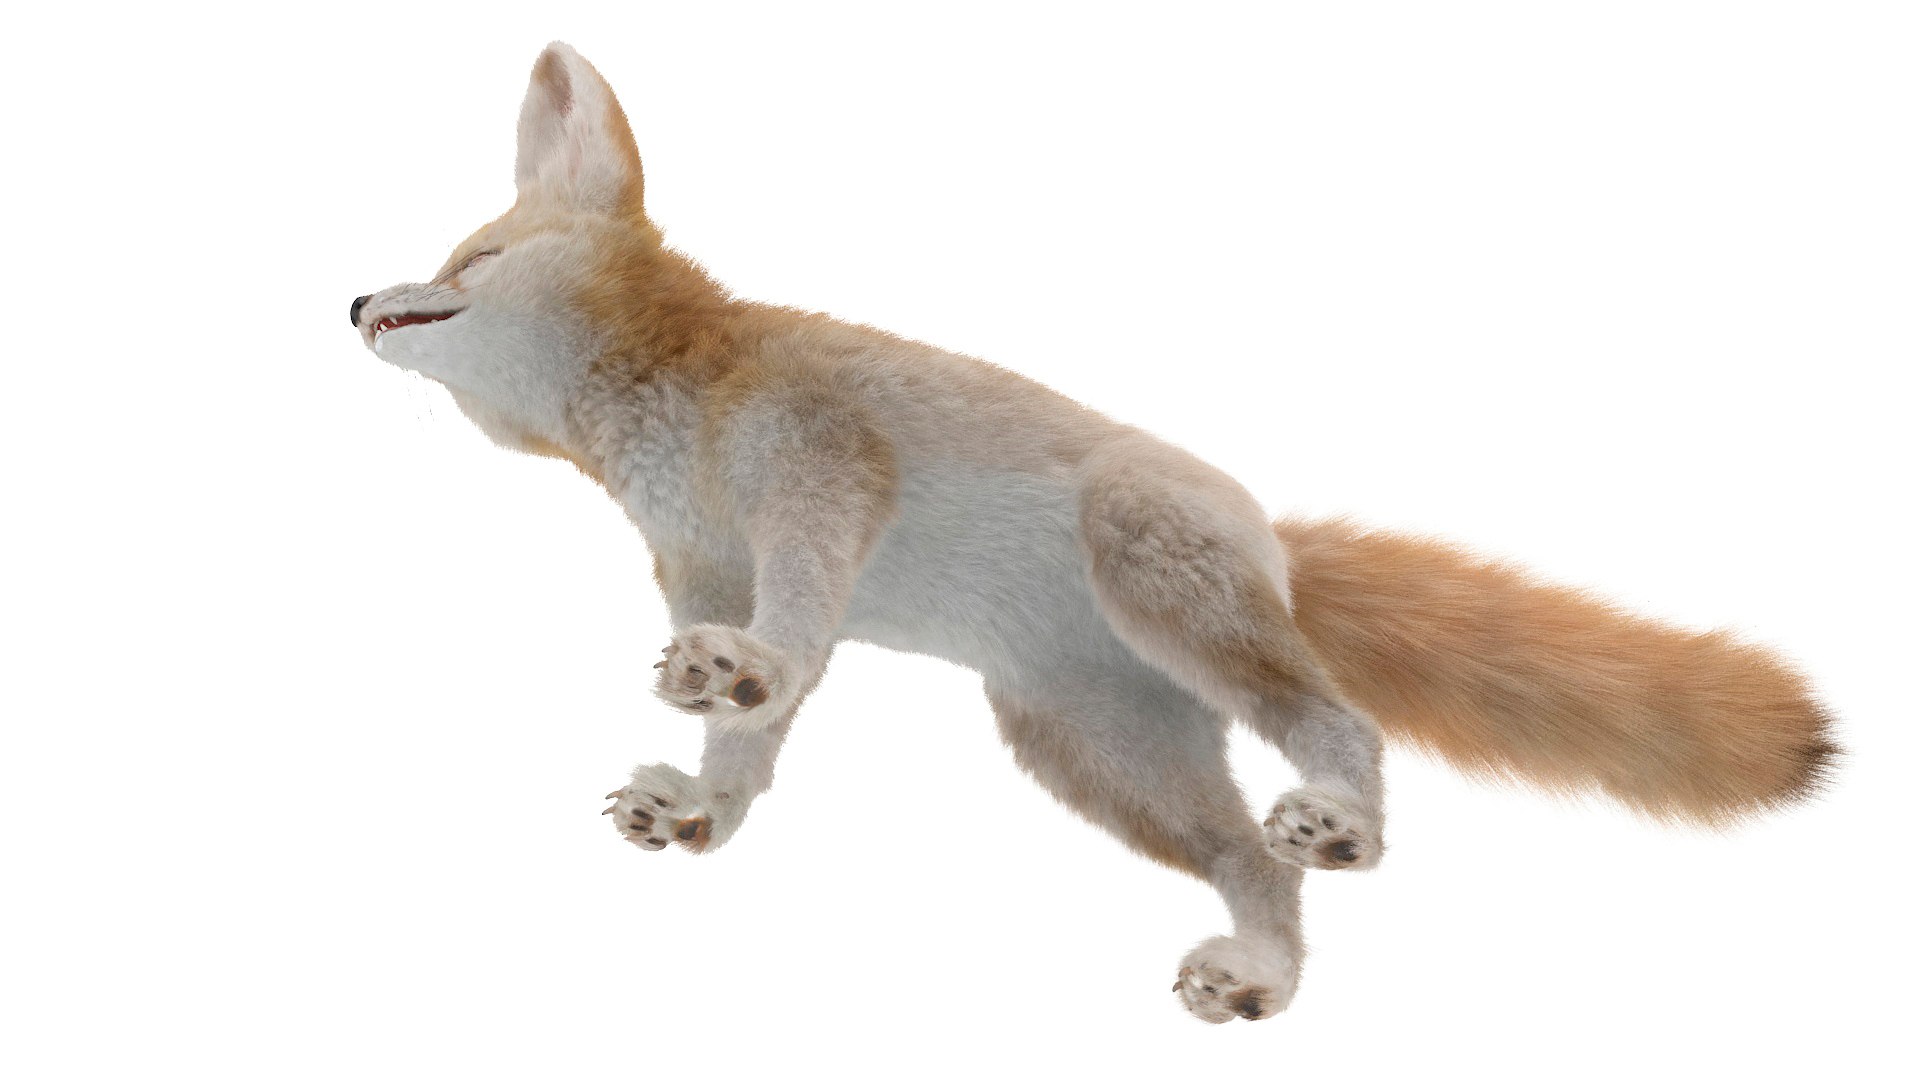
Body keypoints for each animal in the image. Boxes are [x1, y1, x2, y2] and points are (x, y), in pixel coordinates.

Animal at [351, 43, 1838, 1023]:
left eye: (472, 259)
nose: (359, 301)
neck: (669, 429)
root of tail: (1268, 541)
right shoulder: (707, 564)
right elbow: (755, 738)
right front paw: (710, 797)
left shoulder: (826, 474)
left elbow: (798, 634)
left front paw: (751, 669)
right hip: (1089, 751)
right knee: (1250, 859)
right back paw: (1265, 968)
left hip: (1150, 569)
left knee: (1338, 720)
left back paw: (1346, 820)